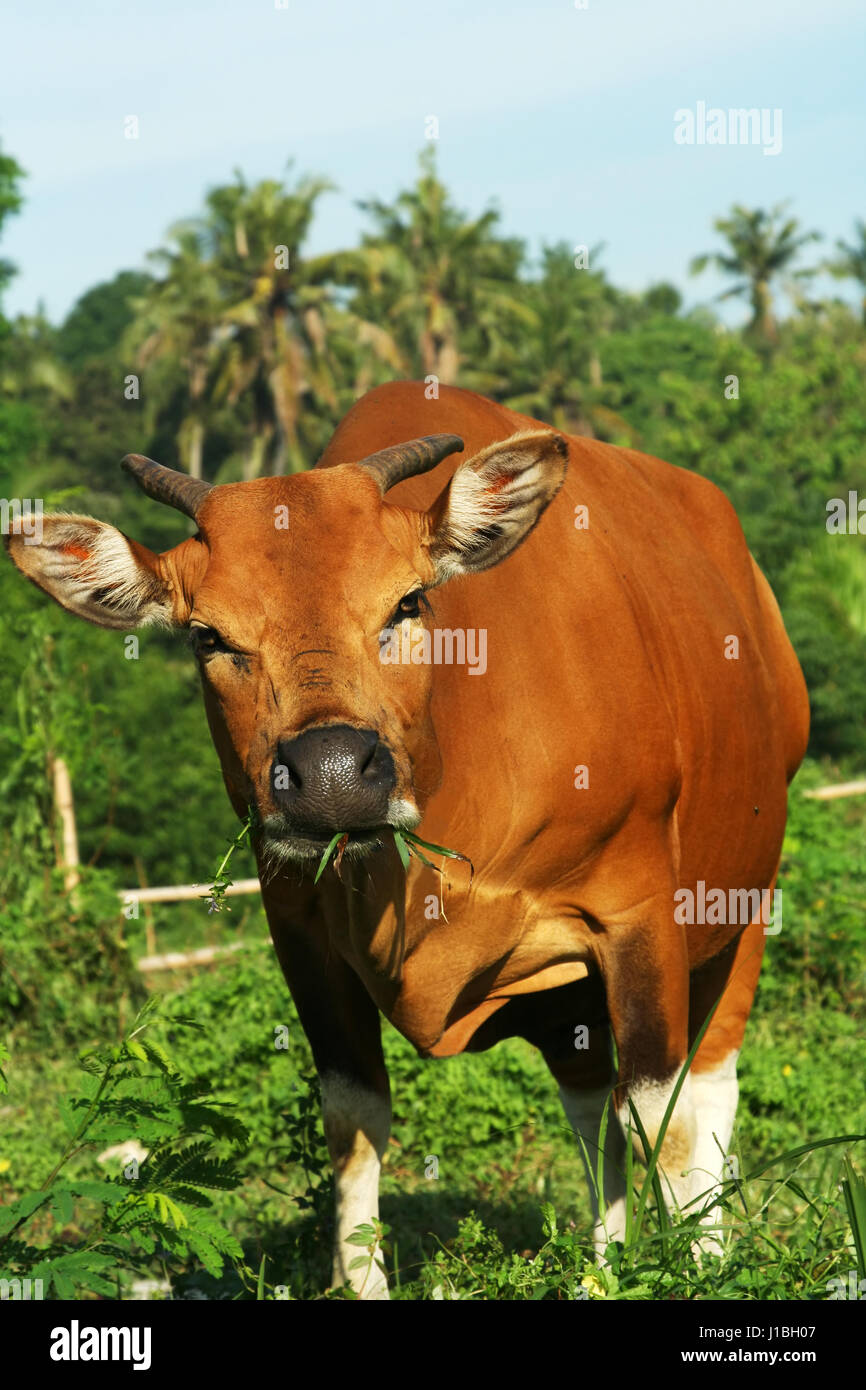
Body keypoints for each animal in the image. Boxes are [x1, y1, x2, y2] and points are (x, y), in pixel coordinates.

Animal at [6, 381, 809, 1298]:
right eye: (209, 636)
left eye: (407, 603)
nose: (331, 775)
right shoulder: (301, 933)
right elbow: (354, 1115)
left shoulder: (637, 913)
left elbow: (661, 1117)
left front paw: (693, 1270)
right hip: (564, 993)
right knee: (588, 1106)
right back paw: (604, 1264)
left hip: (744, 903)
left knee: (706, 1086)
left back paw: (706, 1247)